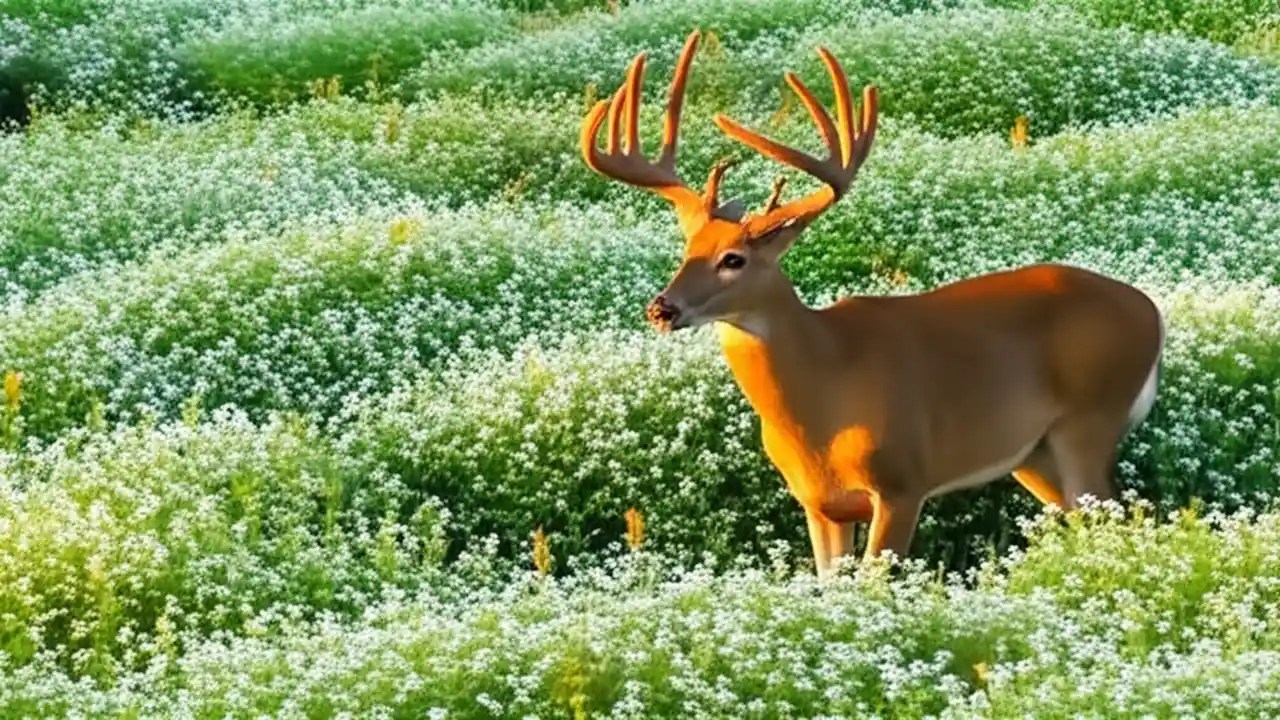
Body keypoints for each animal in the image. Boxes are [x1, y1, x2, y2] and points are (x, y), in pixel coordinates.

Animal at [580, 30, 1164, 579]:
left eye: (733, 259)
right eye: (687, 250)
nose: (662, 308)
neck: (826, 391)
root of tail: (1153, 313)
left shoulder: (903, 480)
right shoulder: (820, 506)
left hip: (1088, 421)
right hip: (1034, 454)